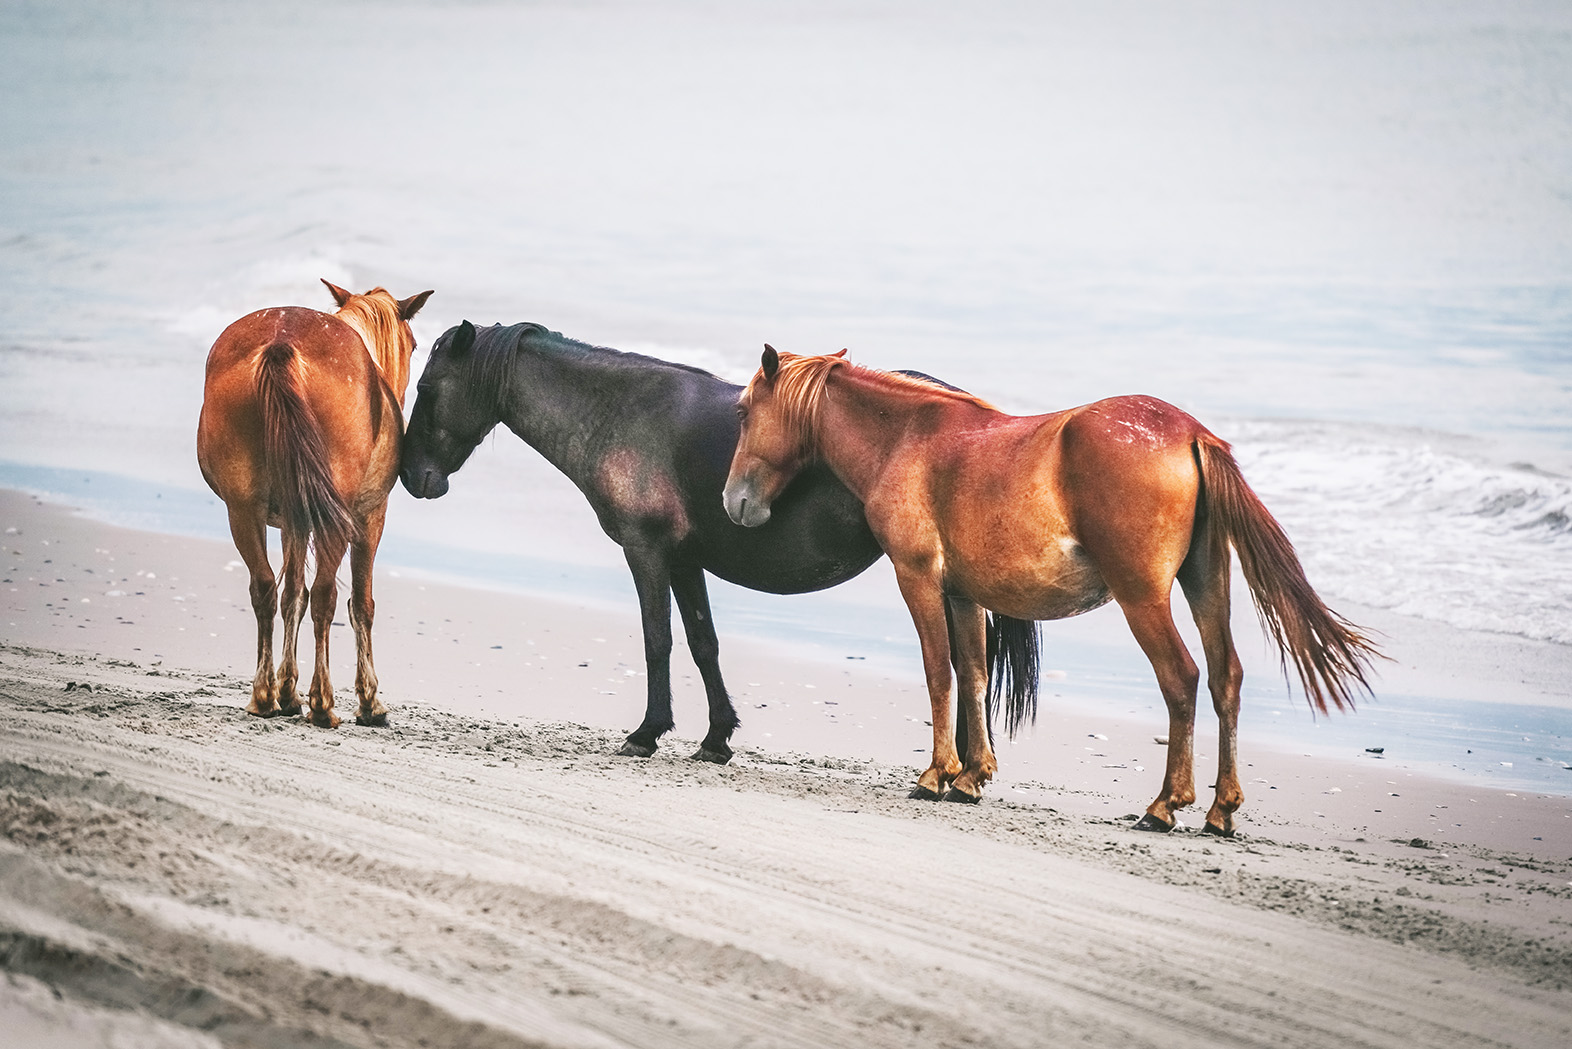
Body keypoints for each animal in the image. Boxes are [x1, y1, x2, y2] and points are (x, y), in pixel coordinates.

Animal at [197, 280, 433, 728]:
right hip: (334, 517)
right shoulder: (369, 517)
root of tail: (281, 343)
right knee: (325, 595)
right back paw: (322, 703)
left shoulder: (295, 520)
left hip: (243, 509)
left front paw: (288, 691)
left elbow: (293, 595)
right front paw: (369, 701)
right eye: (413, 344)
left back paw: (264, 695)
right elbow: (359, 603)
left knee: (265, 588)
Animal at [399, 321, 1039, 763]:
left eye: (426, 388)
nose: (412, 476)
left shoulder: (648, 552)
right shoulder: (685, 561)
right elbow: (703, 644)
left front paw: (647, 733)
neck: (622, 412)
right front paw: (715, 738)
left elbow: (657, 640)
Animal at [723, 346, 1379, 835]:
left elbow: (939, 672)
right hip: (1206, 585)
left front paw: (936, 774)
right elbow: (973, 673)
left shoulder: (918, 577)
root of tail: (1191, 433)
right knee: (1225, 679)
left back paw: (1165, 805)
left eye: (743, 411)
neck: (909, 437)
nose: (736, 503)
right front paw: (973, 776)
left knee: (1182, 679)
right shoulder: (963, 595)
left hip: (1143, 598)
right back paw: (1221, 808)